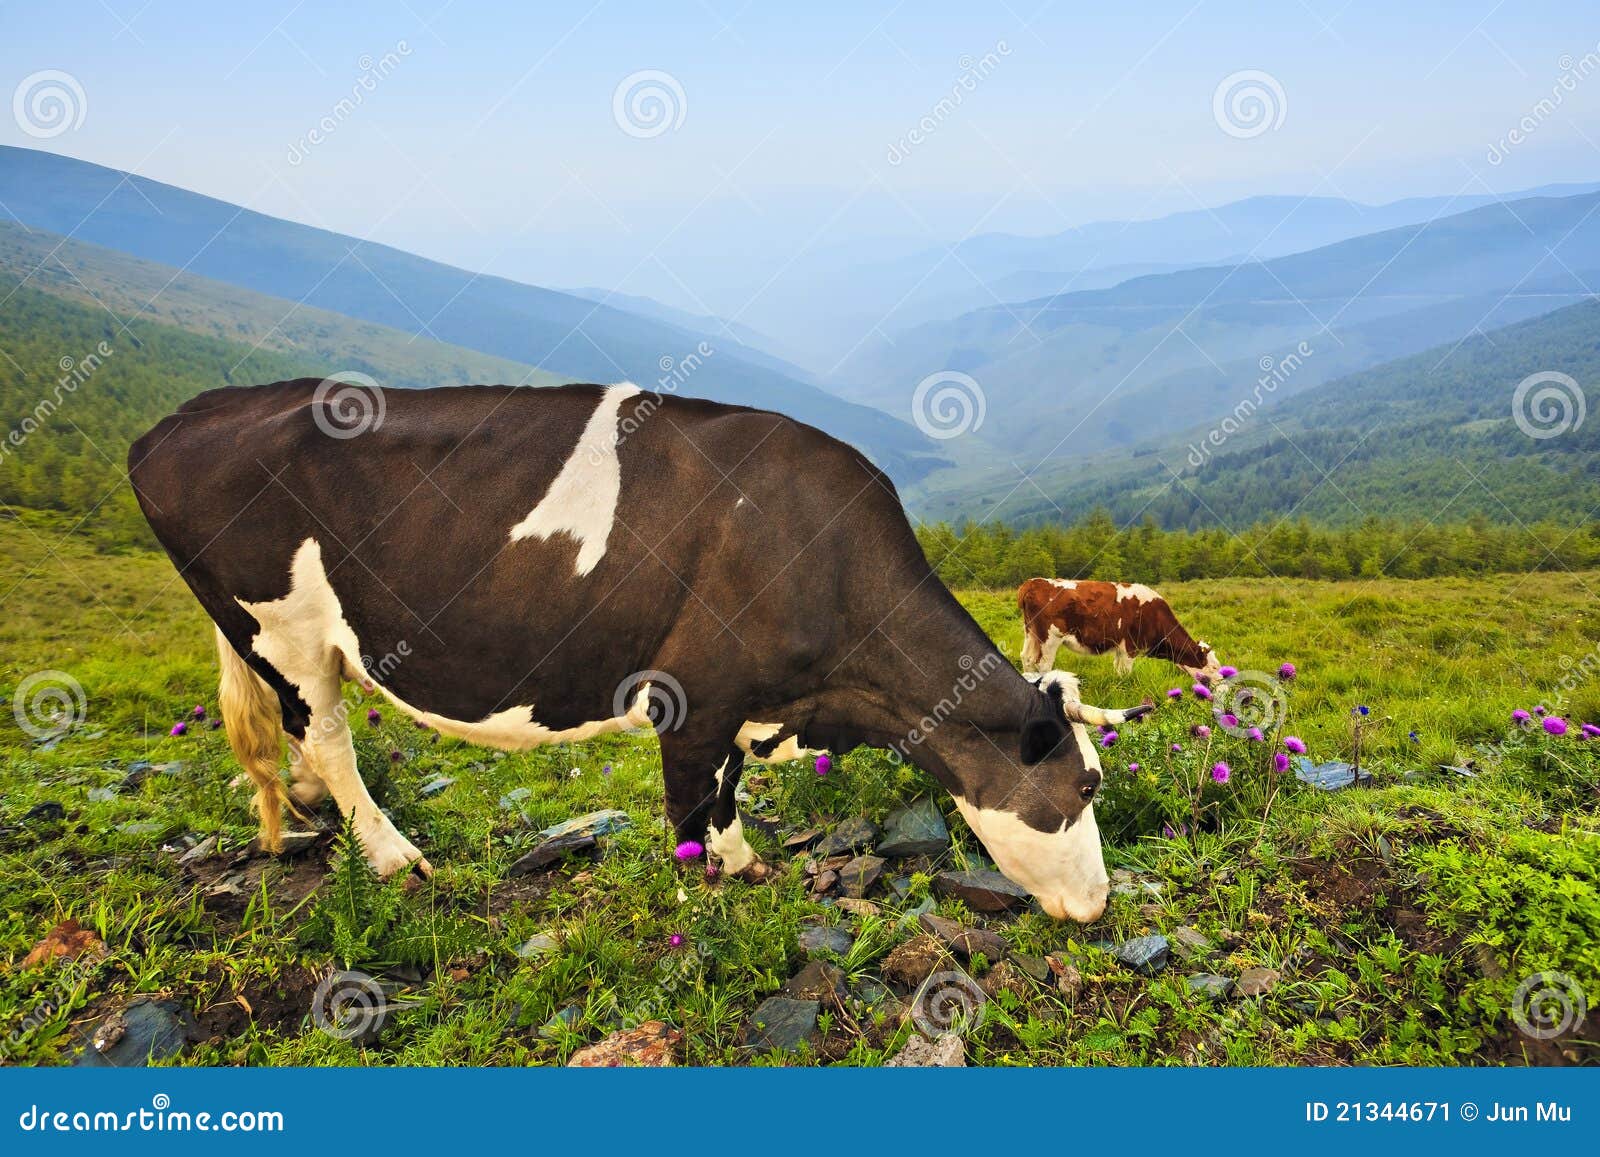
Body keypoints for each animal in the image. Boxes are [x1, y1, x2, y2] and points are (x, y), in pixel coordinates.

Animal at [129, 380, 1151, 922]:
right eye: (1086, 785)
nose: (1102, 901)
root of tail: (190, 412)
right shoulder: (694, 695)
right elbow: (690, 803)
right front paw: (706, 895)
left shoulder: (747, 702)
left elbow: (729, 787)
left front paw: (744, 861)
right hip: (288, 633)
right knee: (329, 739)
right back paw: (391, 855)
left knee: (295, 746)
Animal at [1018, 578, 1222, 683]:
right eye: (1213, 667)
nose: (1222, 683)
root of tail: (1033, 582)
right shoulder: (1130, 647)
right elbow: (1126, 673)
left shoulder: (1119, 648)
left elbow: (1118, 671)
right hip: (1049, 638)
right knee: (1043, 664)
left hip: (1031, 634)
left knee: (1027, 659)